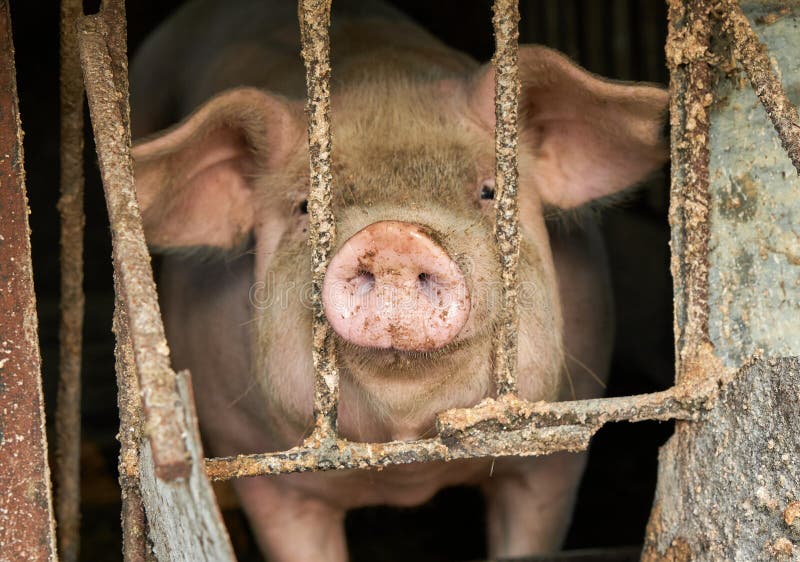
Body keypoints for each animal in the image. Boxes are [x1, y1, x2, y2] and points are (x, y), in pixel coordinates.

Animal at [130, 0, 667, 560]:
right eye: (306, 207)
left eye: (489, 191)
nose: (393, 237)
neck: (408, 467)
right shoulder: (264, 474)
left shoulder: (555, 453)